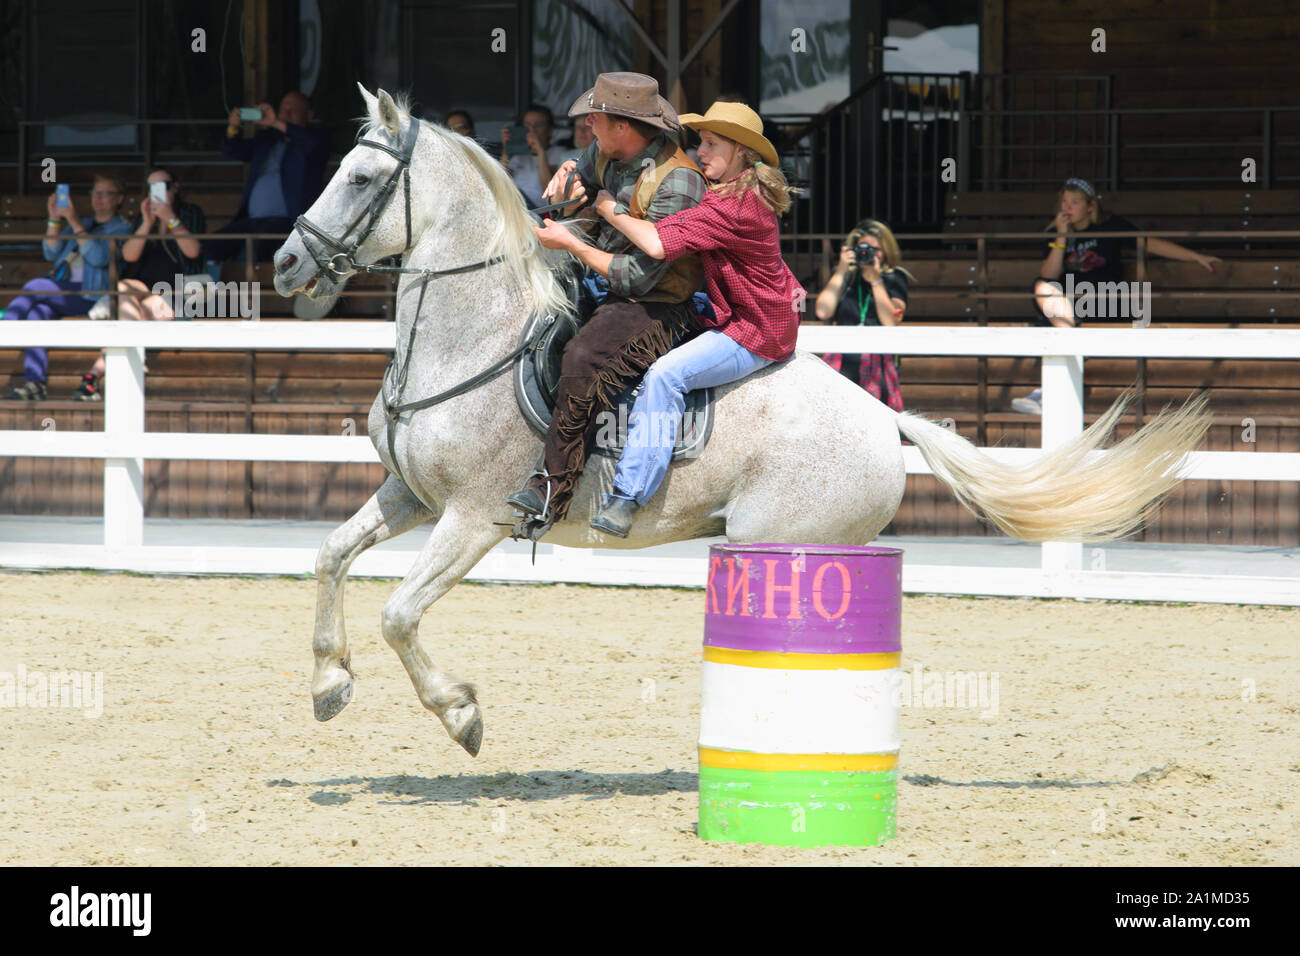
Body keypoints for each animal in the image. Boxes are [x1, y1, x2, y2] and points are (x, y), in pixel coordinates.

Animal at [272, 86, 1209, 758]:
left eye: (361, 179)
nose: (284, 263)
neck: (477, 334)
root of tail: (883, 418)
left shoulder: (474, 518)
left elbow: (400, 615)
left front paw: (460, 714)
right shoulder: (412, 497)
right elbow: (327, 558)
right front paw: (326, 684)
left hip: (788, 539)